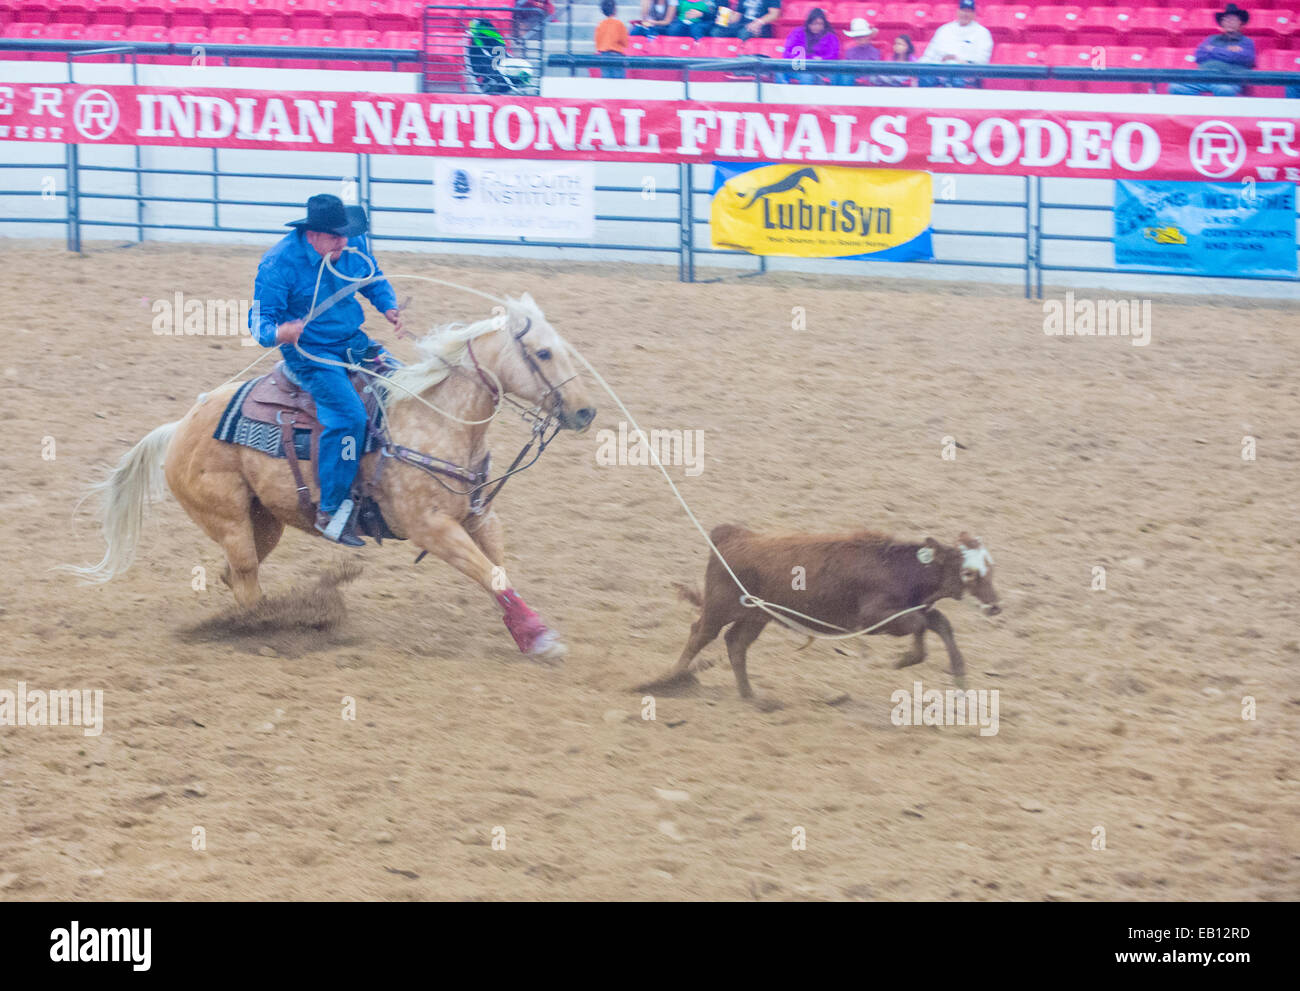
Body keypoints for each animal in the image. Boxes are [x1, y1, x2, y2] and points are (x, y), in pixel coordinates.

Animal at [638, 526, 1001, 700]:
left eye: (990, 567)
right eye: (969, 573)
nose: (995, 605)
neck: (900, 569)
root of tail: (731, 535)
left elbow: (939, 622)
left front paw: (960, 679)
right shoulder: (871, 618)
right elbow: (921, 622)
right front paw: (903, 659)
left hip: (757, 615)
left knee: (735, 643)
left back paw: (750, 696)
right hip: (720, 606)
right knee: (700, 634)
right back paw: (666, 679)